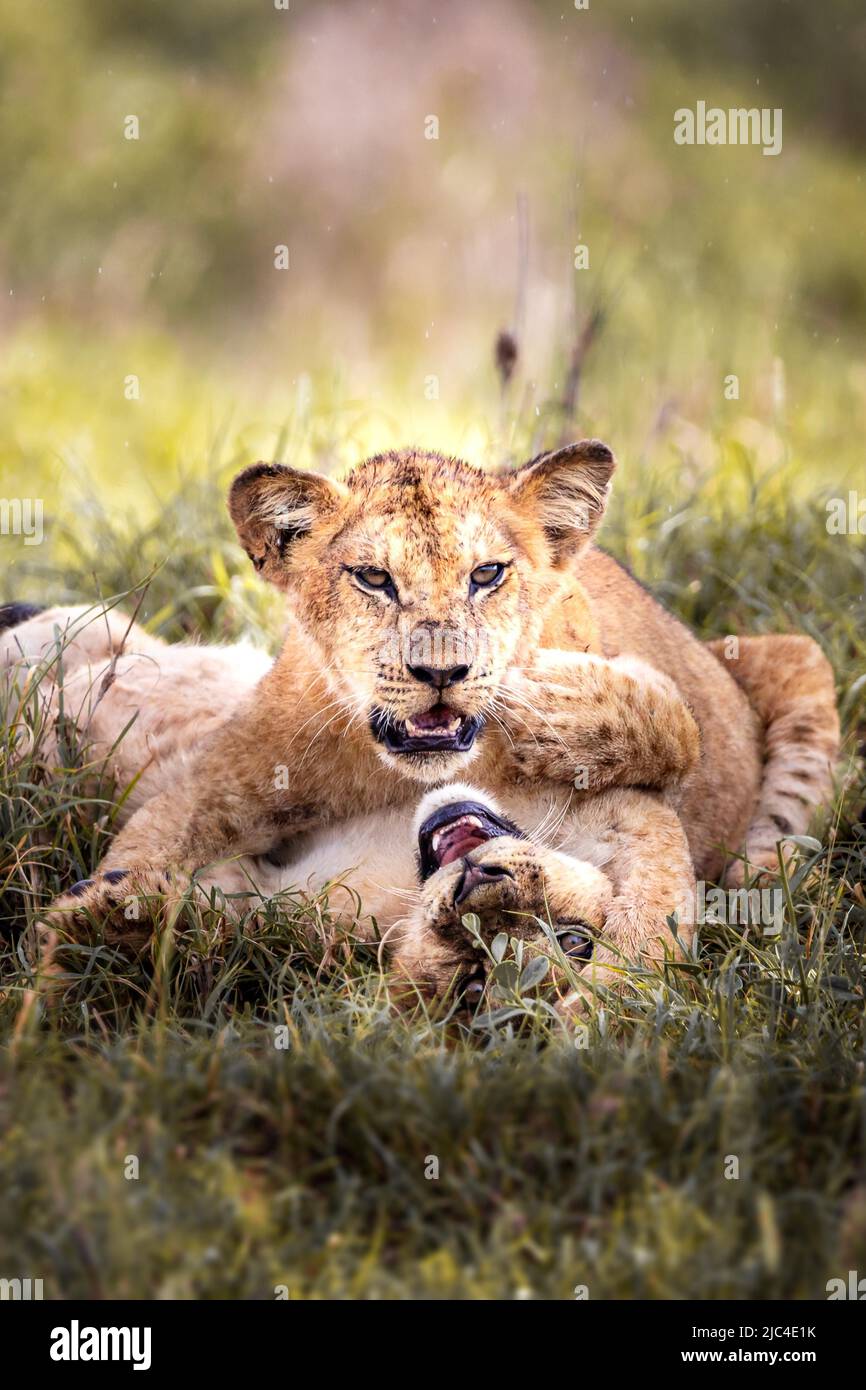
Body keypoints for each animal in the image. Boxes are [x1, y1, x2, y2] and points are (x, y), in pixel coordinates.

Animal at [1, 440, 839, 1002]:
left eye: (487, 574)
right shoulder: (213, 790)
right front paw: (69, 981)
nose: (442, 673)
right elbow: (146, 854)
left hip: (800, 664)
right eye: (374, 578)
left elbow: (647, 924)